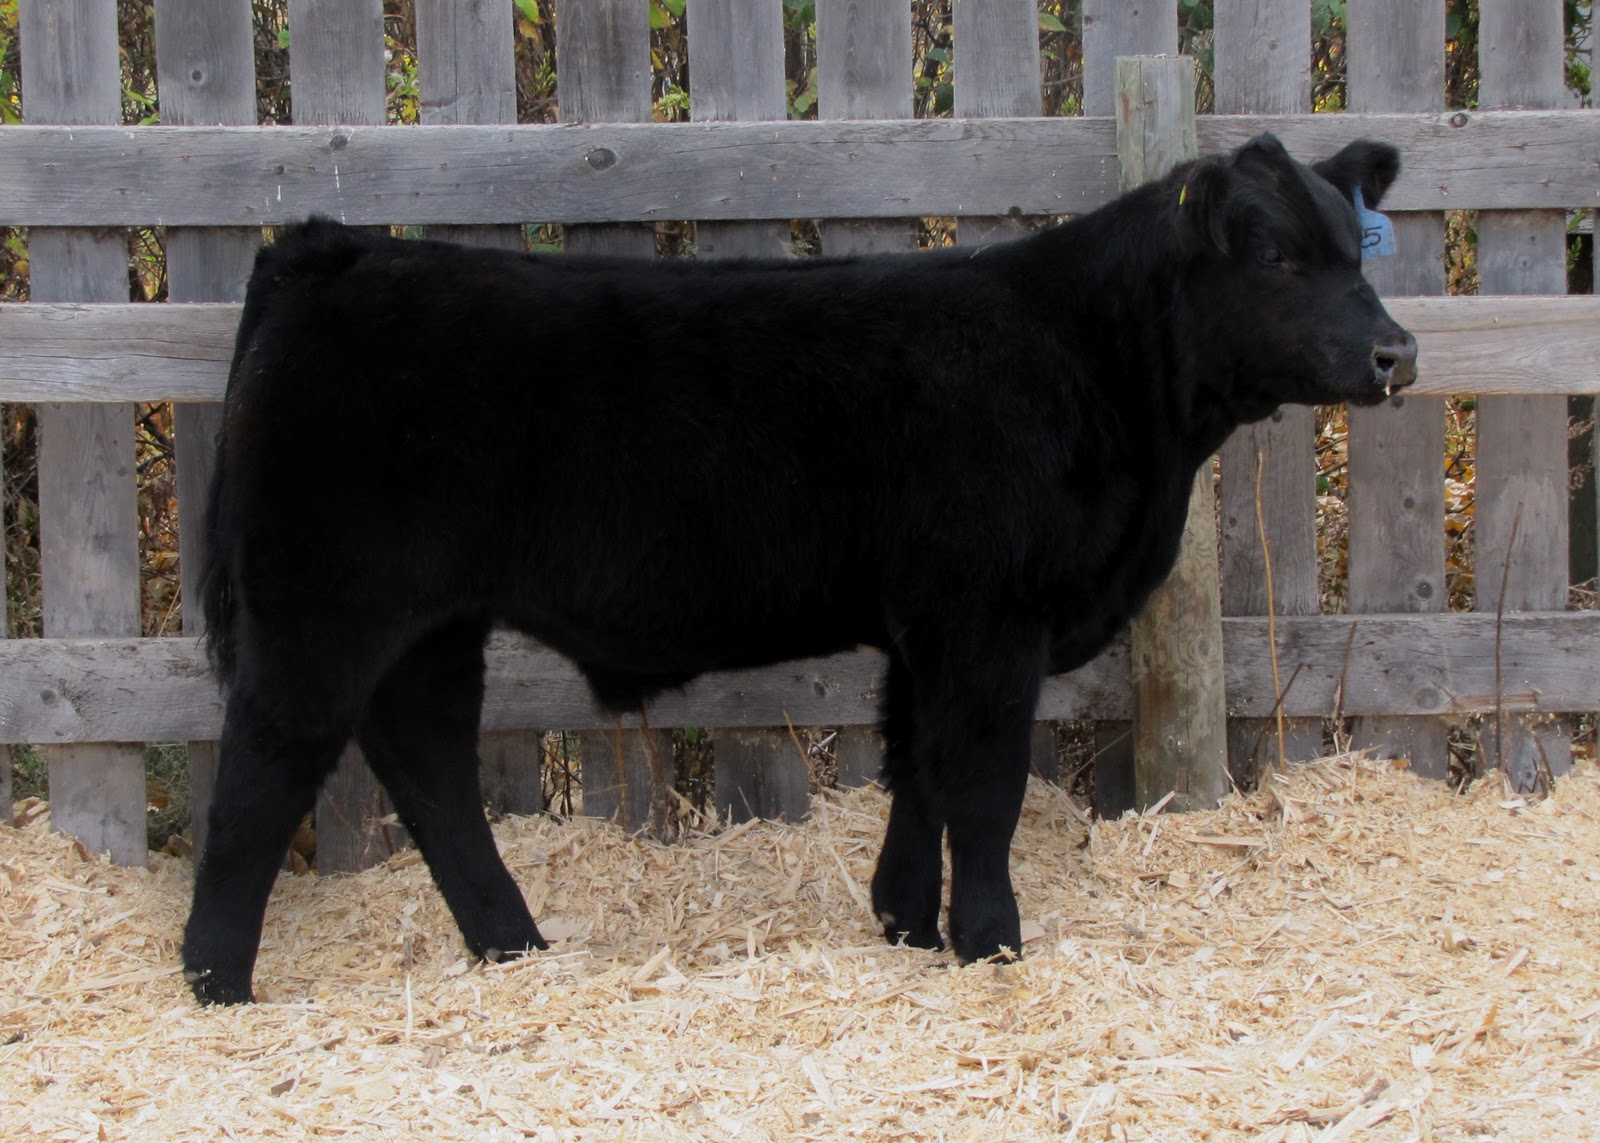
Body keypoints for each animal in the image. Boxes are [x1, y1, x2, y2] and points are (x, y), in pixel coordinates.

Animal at [181, 134, 1416, 1004]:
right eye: (1273, 254)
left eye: (1357, 248)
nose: (1395, 352)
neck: (1105, 379)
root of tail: (333, 248)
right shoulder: (986, 617)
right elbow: (984, 786)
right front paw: (989, 944)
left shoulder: (925, 623)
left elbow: (916, 769)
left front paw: (905, 921)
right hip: (319, 606)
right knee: (265, 769)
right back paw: (217, 983)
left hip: (431, 623)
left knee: (426, 761)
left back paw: (513, 946)